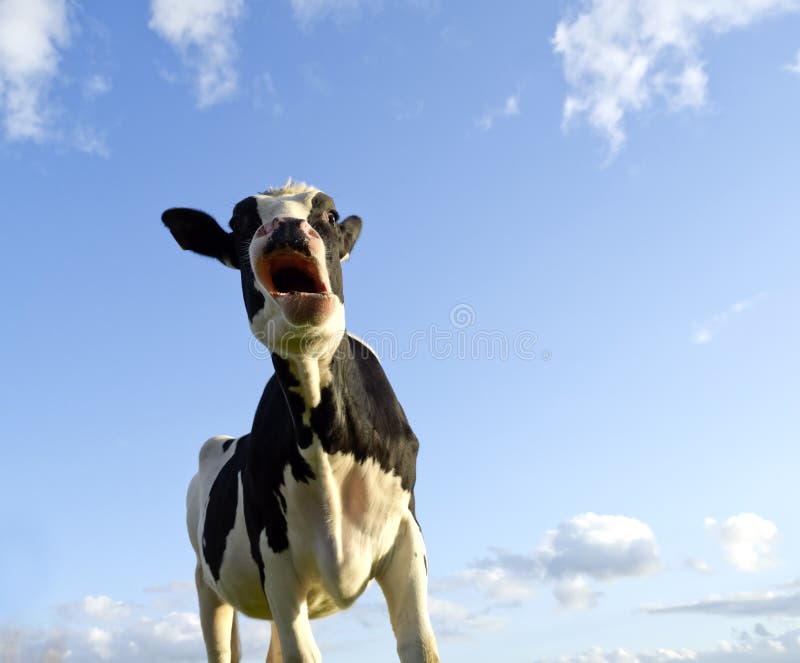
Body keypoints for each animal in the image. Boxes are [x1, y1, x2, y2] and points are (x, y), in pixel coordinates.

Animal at [161, 181, 440, 663]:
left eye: (329, 215)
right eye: (239, 222)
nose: (285, 225)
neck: (326, 437)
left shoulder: (407, 535)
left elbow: (420, 645)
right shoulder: (274, 556)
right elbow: (301, 655)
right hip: (206, 583)